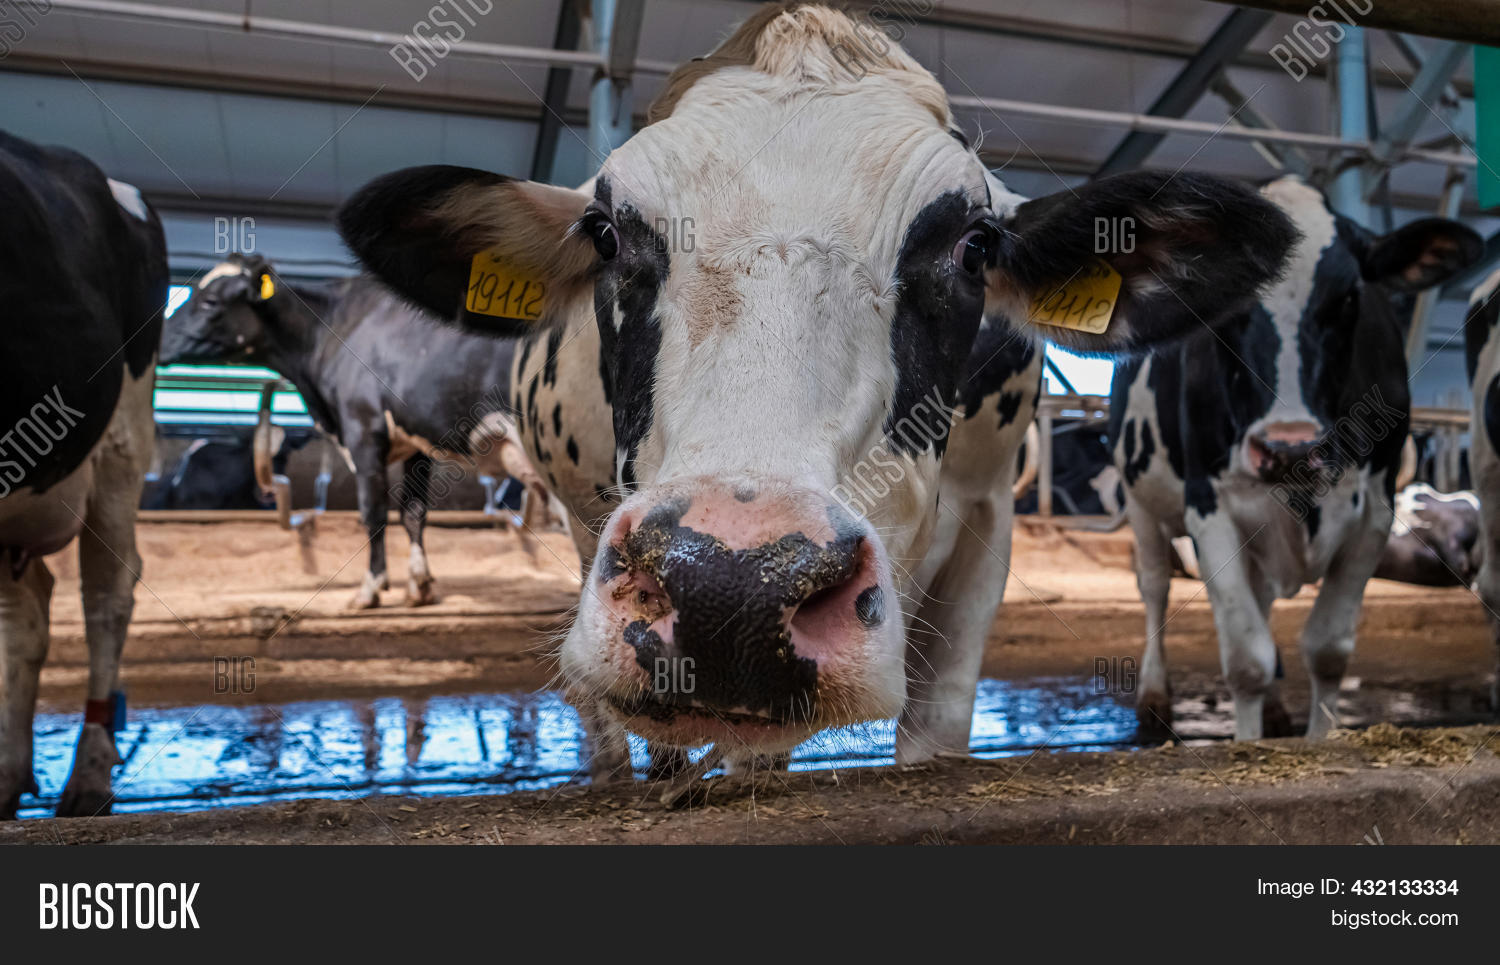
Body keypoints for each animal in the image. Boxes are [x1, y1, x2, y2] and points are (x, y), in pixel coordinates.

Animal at [159, 256, 561, 608]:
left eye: (209, 301)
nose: (160, 339)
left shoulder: (363, 431)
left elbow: (374, 510)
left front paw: (371, 588)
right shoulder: (414, 441)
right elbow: (414, 511)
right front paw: (419, 587)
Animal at [1111, 175, 1482, 741]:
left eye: (1350, 296)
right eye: (1228, 298)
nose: (1290, 447)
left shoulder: (1376, 510)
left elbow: (1327, 650)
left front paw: (1317, 737)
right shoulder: (1208, 503)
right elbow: (1247, 659)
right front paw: (1245, 741)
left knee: (1260, 599)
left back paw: (1274, 712)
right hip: (1140, 498)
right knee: (1154, 587)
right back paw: (1154, 702)